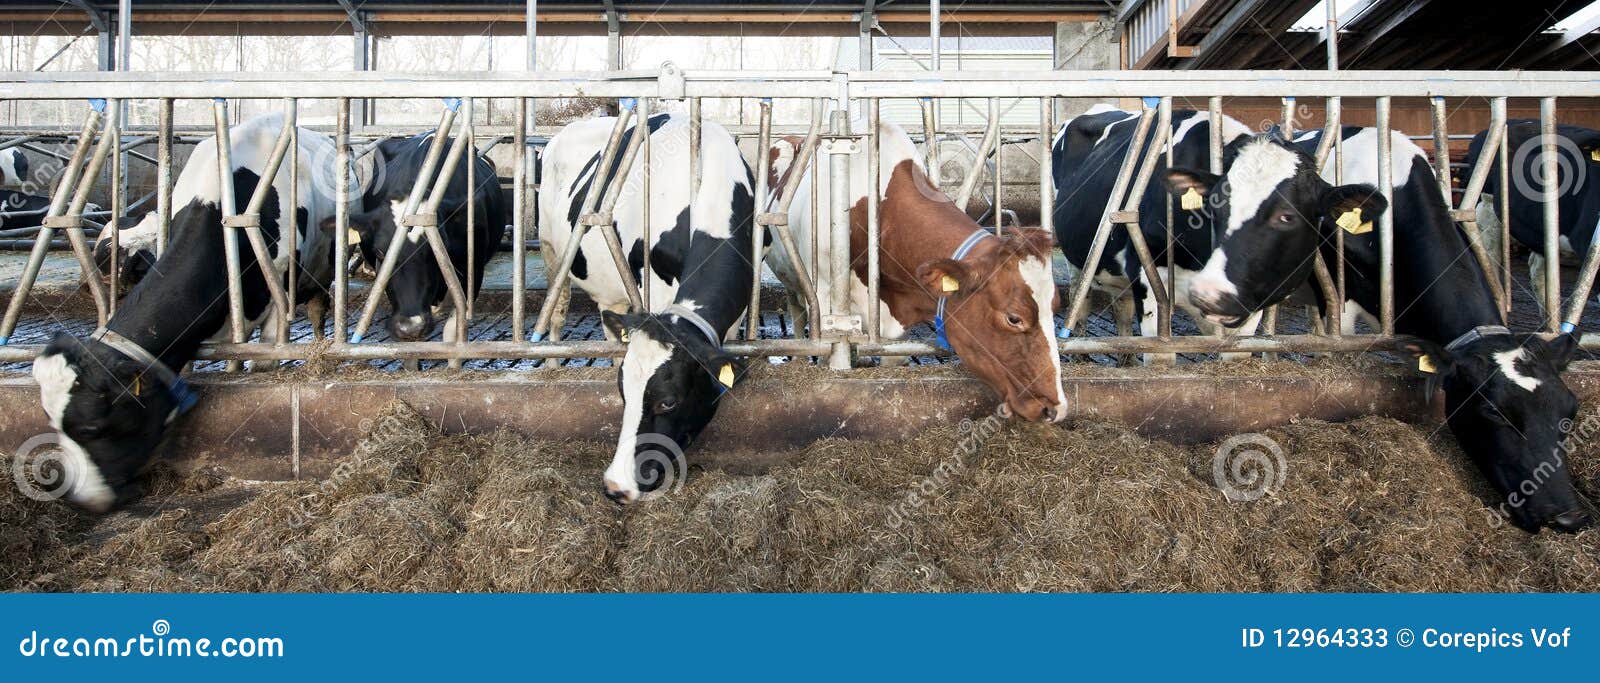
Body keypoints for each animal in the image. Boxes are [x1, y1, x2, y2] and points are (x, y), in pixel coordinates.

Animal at [33, 113, 345, 512]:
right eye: (53, 424)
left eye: (92, 428)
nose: (78, 500)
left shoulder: (280, 295)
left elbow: (265, 360)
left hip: (321, 271)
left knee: (320, 312)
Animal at [765, 118, 1066, 424]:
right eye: (1014, 318)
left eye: (1055, 307)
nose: (1055, 407)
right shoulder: (826, 298)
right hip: (789, 275)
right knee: (796, 309)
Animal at [1051, 104, 1262, 363]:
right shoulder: (1148, 278)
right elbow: (1160, 354)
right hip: (1077, 259)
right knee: (1080, 297)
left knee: (1122, 306)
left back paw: (1127, 360)